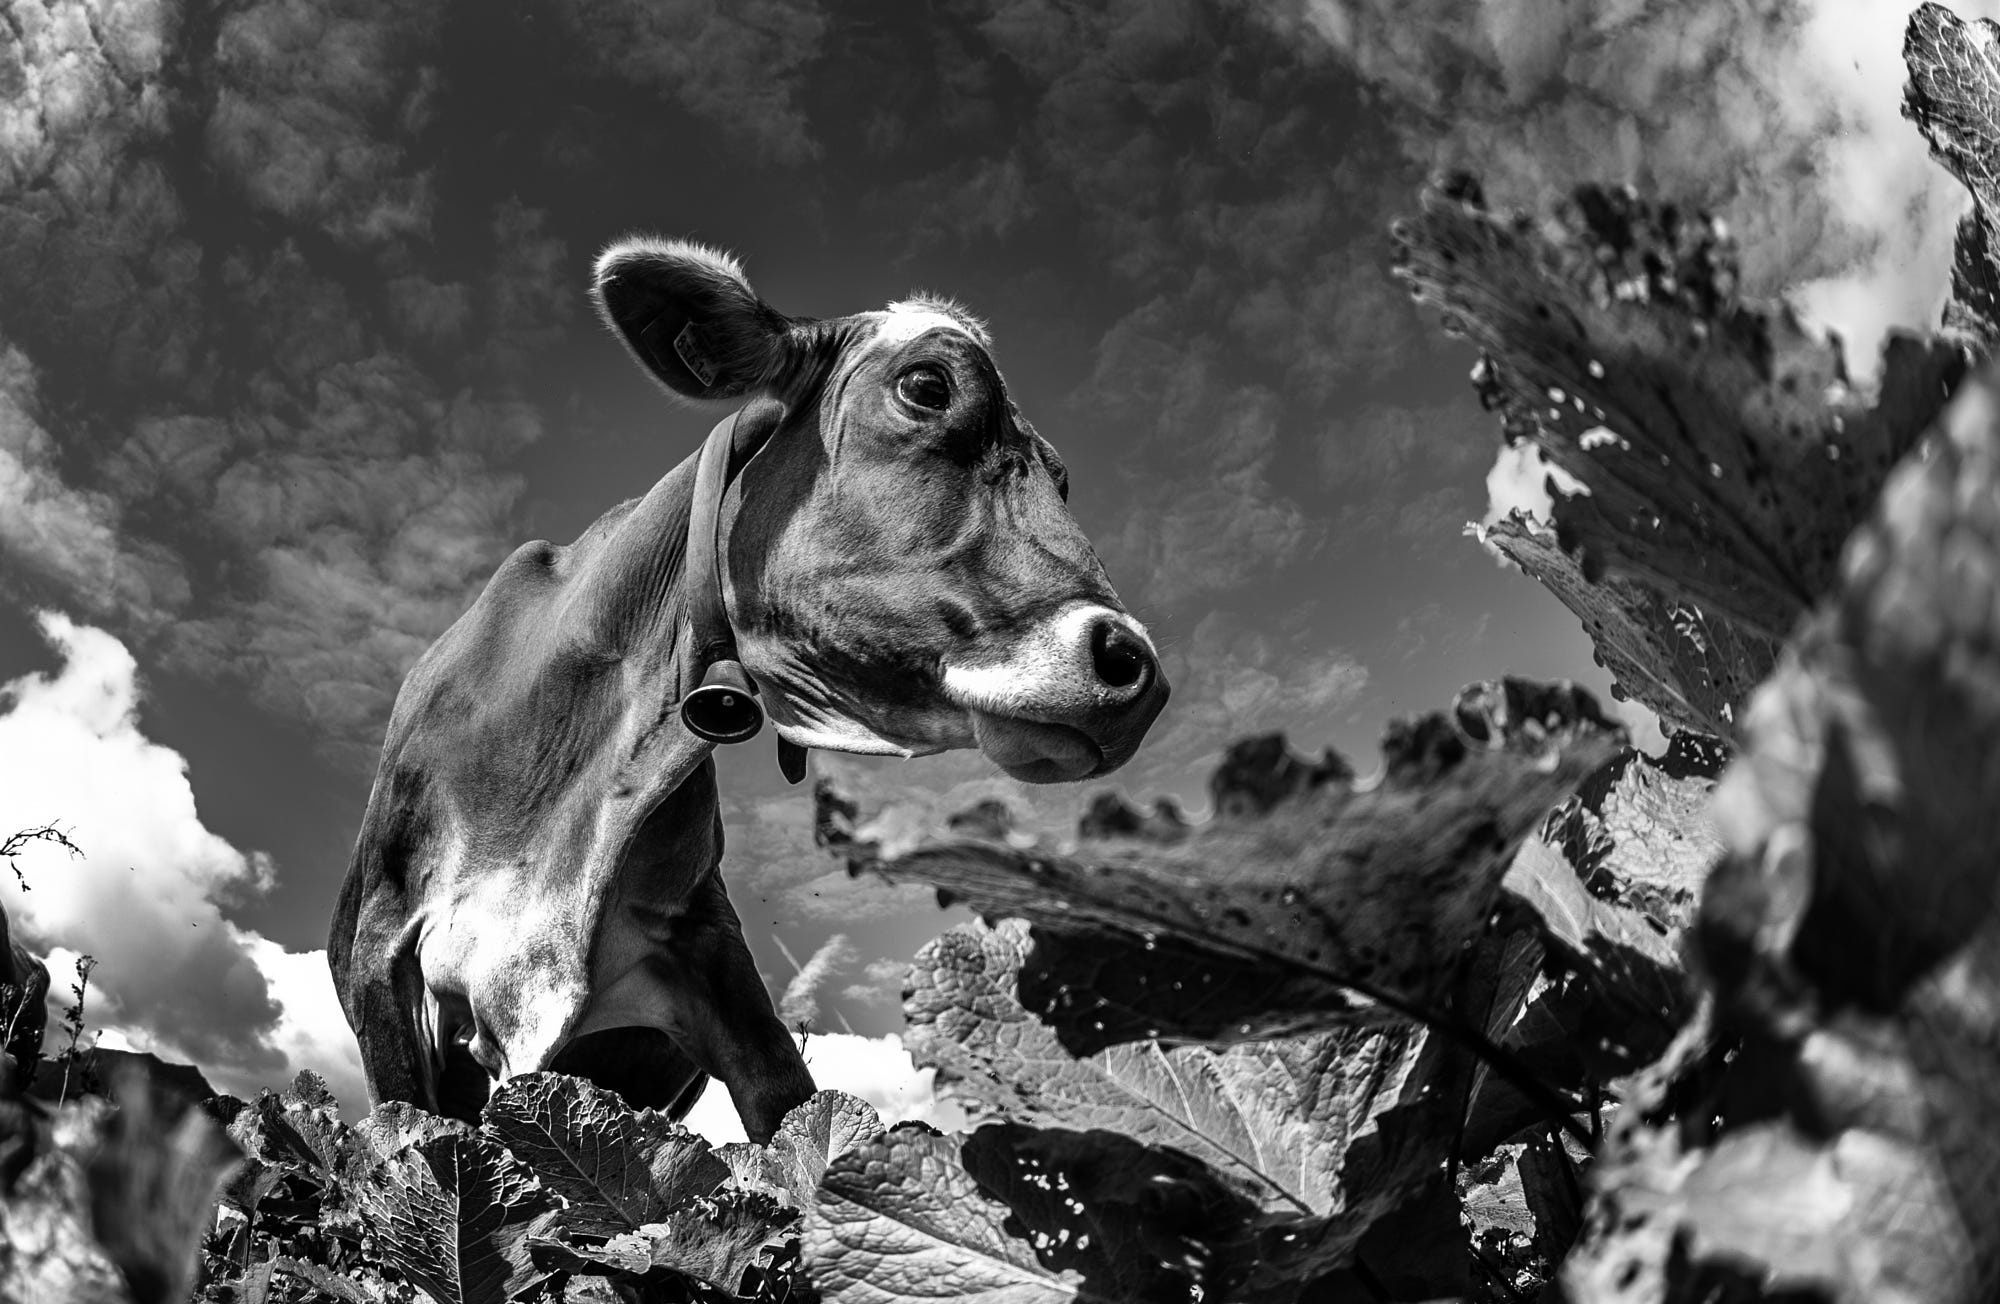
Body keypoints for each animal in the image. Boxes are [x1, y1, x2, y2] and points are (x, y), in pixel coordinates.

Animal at [330, 239, 1169, 1142]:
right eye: (925, 386)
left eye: (1061, 476)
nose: (1134, 669)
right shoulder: (382, 966)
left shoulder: (705, 947)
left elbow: (792, 1127)